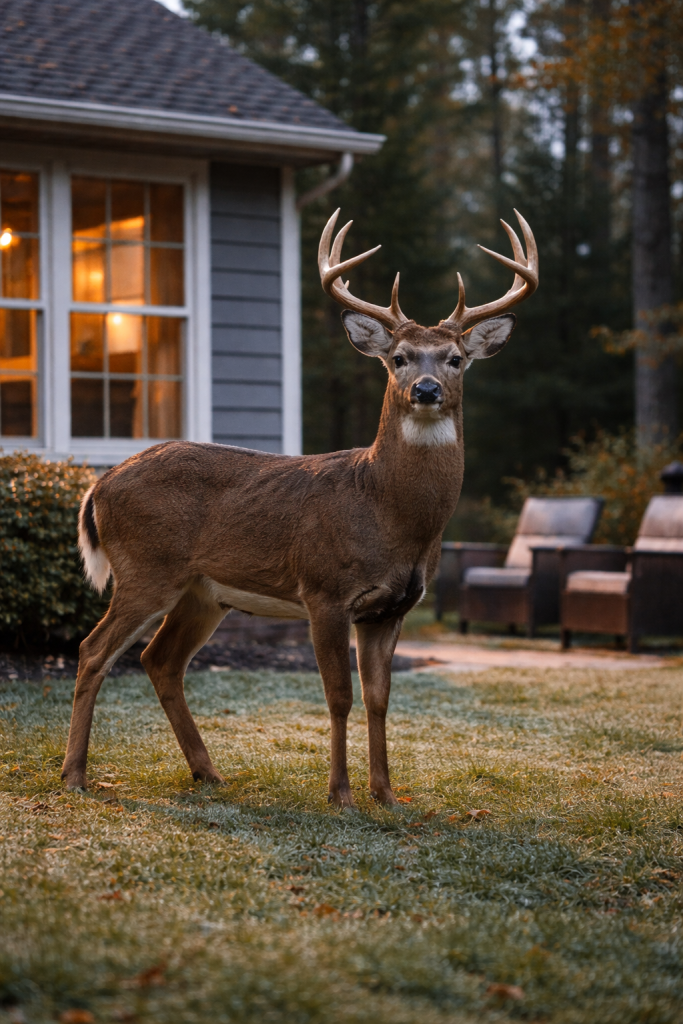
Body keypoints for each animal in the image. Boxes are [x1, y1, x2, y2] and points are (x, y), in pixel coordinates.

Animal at [62, 208, 538, 807]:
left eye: (455, 359)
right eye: (398, 358)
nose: (426, 389)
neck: (390, 514)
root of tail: (99, 486)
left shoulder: (392, 608)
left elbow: (379, 698)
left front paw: (386, 794)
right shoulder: (324, 590)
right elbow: (339, 696)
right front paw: (340, 795)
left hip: (202, 592)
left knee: (159, 660)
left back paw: (209, 772)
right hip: (147, 569)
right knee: (92, 650)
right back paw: (75, 775)